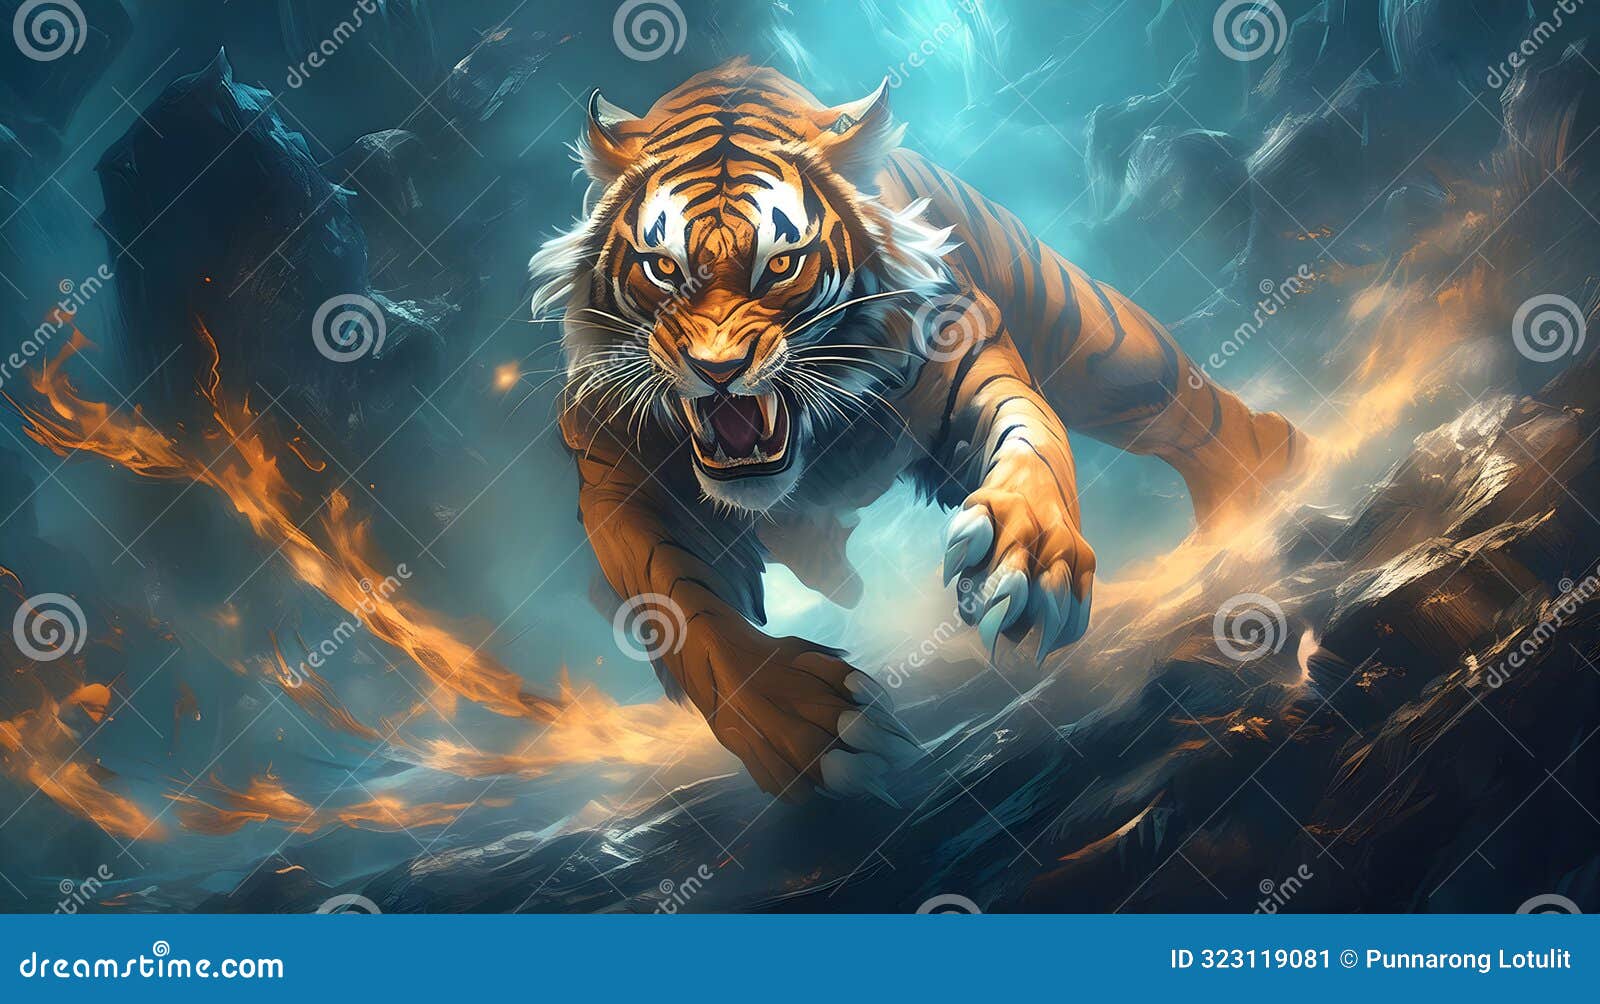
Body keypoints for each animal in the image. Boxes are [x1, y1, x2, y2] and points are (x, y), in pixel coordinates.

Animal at [530, 59, 1304, 802]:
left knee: (1187, 408)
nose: (716, 369)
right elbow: (681, 608)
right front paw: (817, 729)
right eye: (665, 268)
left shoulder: (967, 353)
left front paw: (1027, 555)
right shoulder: (616, 476)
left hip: (1096, 346)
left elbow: (1033, 443)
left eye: (781, 264)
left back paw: (1258, 493)